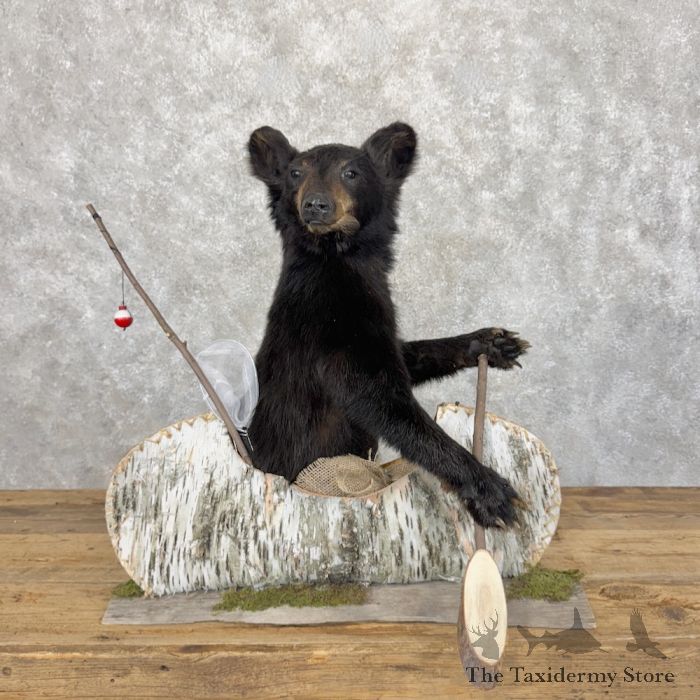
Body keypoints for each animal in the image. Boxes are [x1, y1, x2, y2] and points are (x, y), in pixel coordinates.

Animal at [245, 122, 529, 528]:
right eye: (295, 173)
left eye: (351, 172)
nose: (316, 204)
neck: (337, 260)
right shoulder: (328, 327)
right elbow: (380, 398)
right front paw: (489, 489)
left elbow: (406, 356)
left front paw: (491, 342)